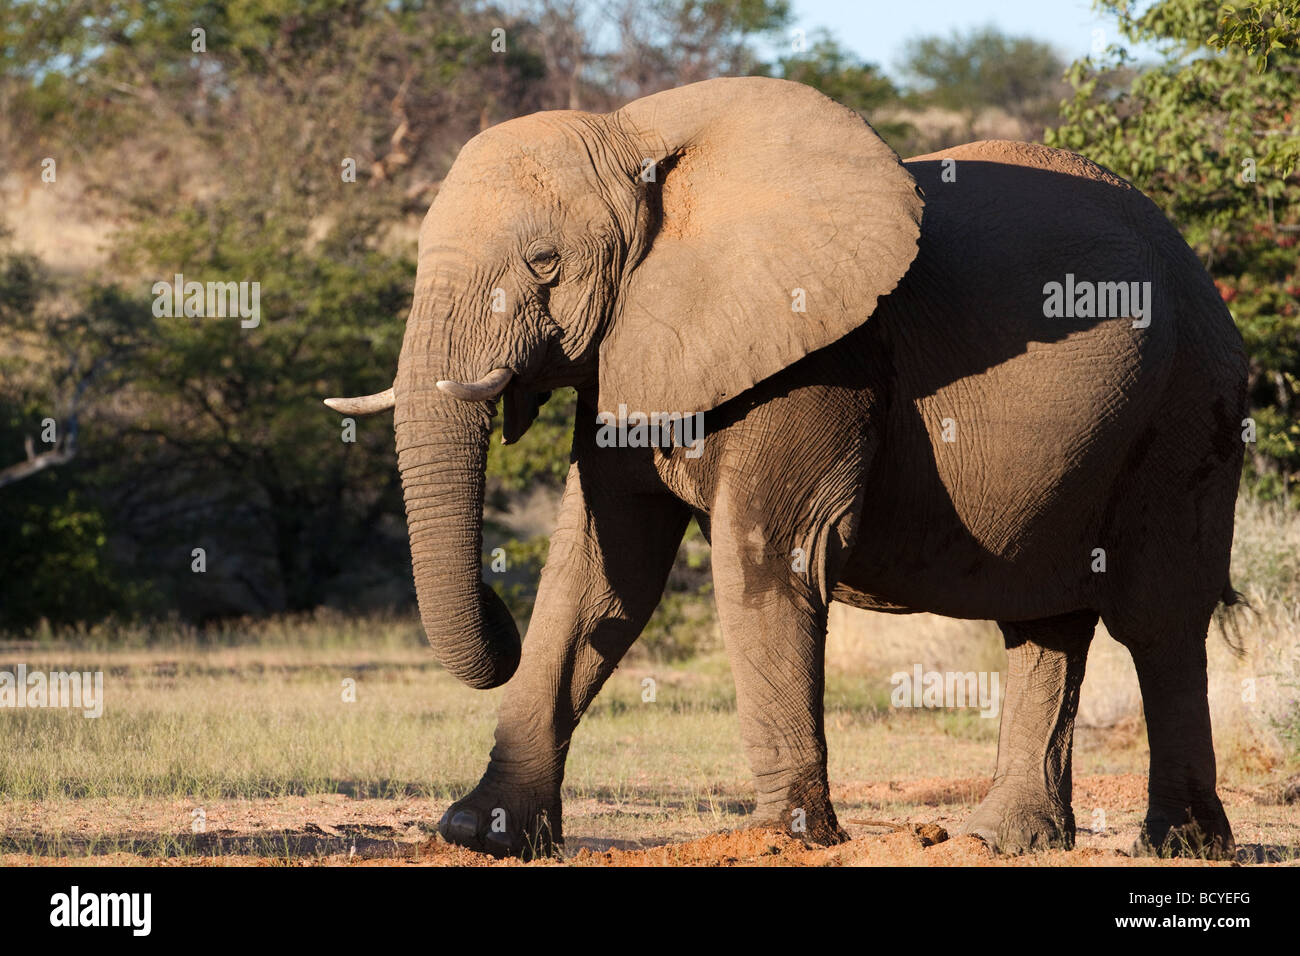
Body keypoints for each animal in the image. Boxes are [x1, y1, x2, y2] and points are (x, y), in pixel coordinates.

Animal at [326, 77, 1246, 860]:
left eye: (544, 264)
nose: (494, 613)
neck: (638, 137)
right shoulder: (637, 346)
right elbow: (597, 576)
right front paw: (478, 833)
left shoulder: (817, 353)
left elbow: (766, 558)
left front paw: (783, 840)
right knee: (1044, 621)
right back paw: (1002, 839)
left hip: (1189, 404)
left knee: (1159, 621)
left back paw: (1180, 845)